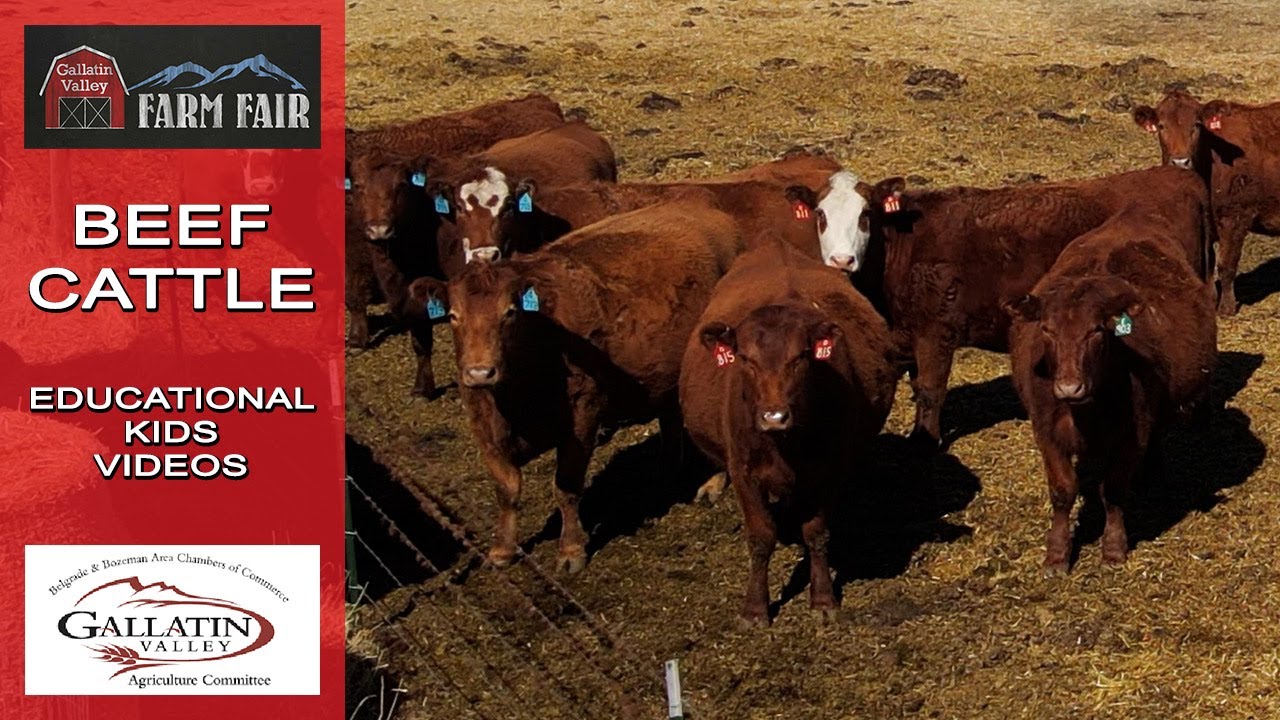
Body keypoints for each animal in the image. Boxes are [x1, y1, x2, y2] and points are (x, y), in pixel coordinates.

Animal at [407, 199, 743, 573]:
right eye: (453, 316)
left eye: (509, 312)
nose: (480, 372)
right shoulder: (482, 422)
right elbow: (506, 488)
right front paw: (502, 549)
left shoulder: (582, 413)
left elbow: (566, 486)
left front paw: (570, 550)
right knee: (671, 420)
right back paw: (664, 471)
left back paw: (711, 482)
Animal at [679, 240, 897, 625]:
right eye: (745, 358)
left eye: (801, 358)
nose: (774, 417)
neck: (785, 445)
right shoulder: (744, 473)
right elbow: (761, 537)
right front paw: (755, 608)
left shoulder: (829, 470)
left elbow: (817, 532)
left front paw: (823, 598)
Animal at [788, 165, 1213, 448]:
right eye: (820, 215)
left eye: (866, 215)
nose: (841, 260)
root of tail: (1179, 176)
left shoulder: (936, 332)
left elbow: (931, 389)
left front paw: (924, 443)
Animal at [1005, 206, 1216, 574]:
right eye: (1046, 330)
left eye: (1097, 331)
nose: (1069, 387)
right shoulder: (1045, 431)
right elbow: (1062, 489)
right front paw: (1057, 554)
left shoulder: (1132, 431)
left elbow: (1114, 490)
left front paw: (1114, 547)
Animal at [1133, 89, 1280, 316]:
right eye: (1161, 126)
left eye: (1196, 125)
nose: (1180, 162)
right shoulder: (1207, 223)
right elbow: (1208, 265)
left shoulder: (1235, 216)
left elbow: (1226, 264)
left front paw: (1226, 307)